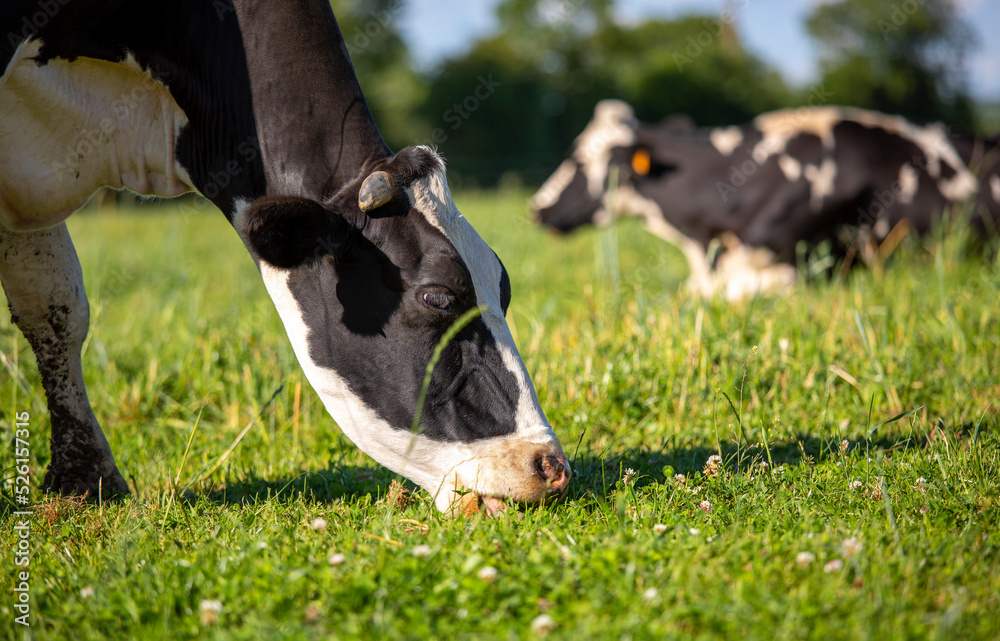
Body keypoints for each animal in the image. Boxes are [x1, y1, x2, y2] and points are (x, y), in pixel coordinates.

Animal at [0, 0, 569, 515]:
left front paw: (83, 478)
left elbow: (56, 311)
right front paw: (82, 477)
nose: (551, 467)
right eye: (437, 296)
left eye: (504, 290)